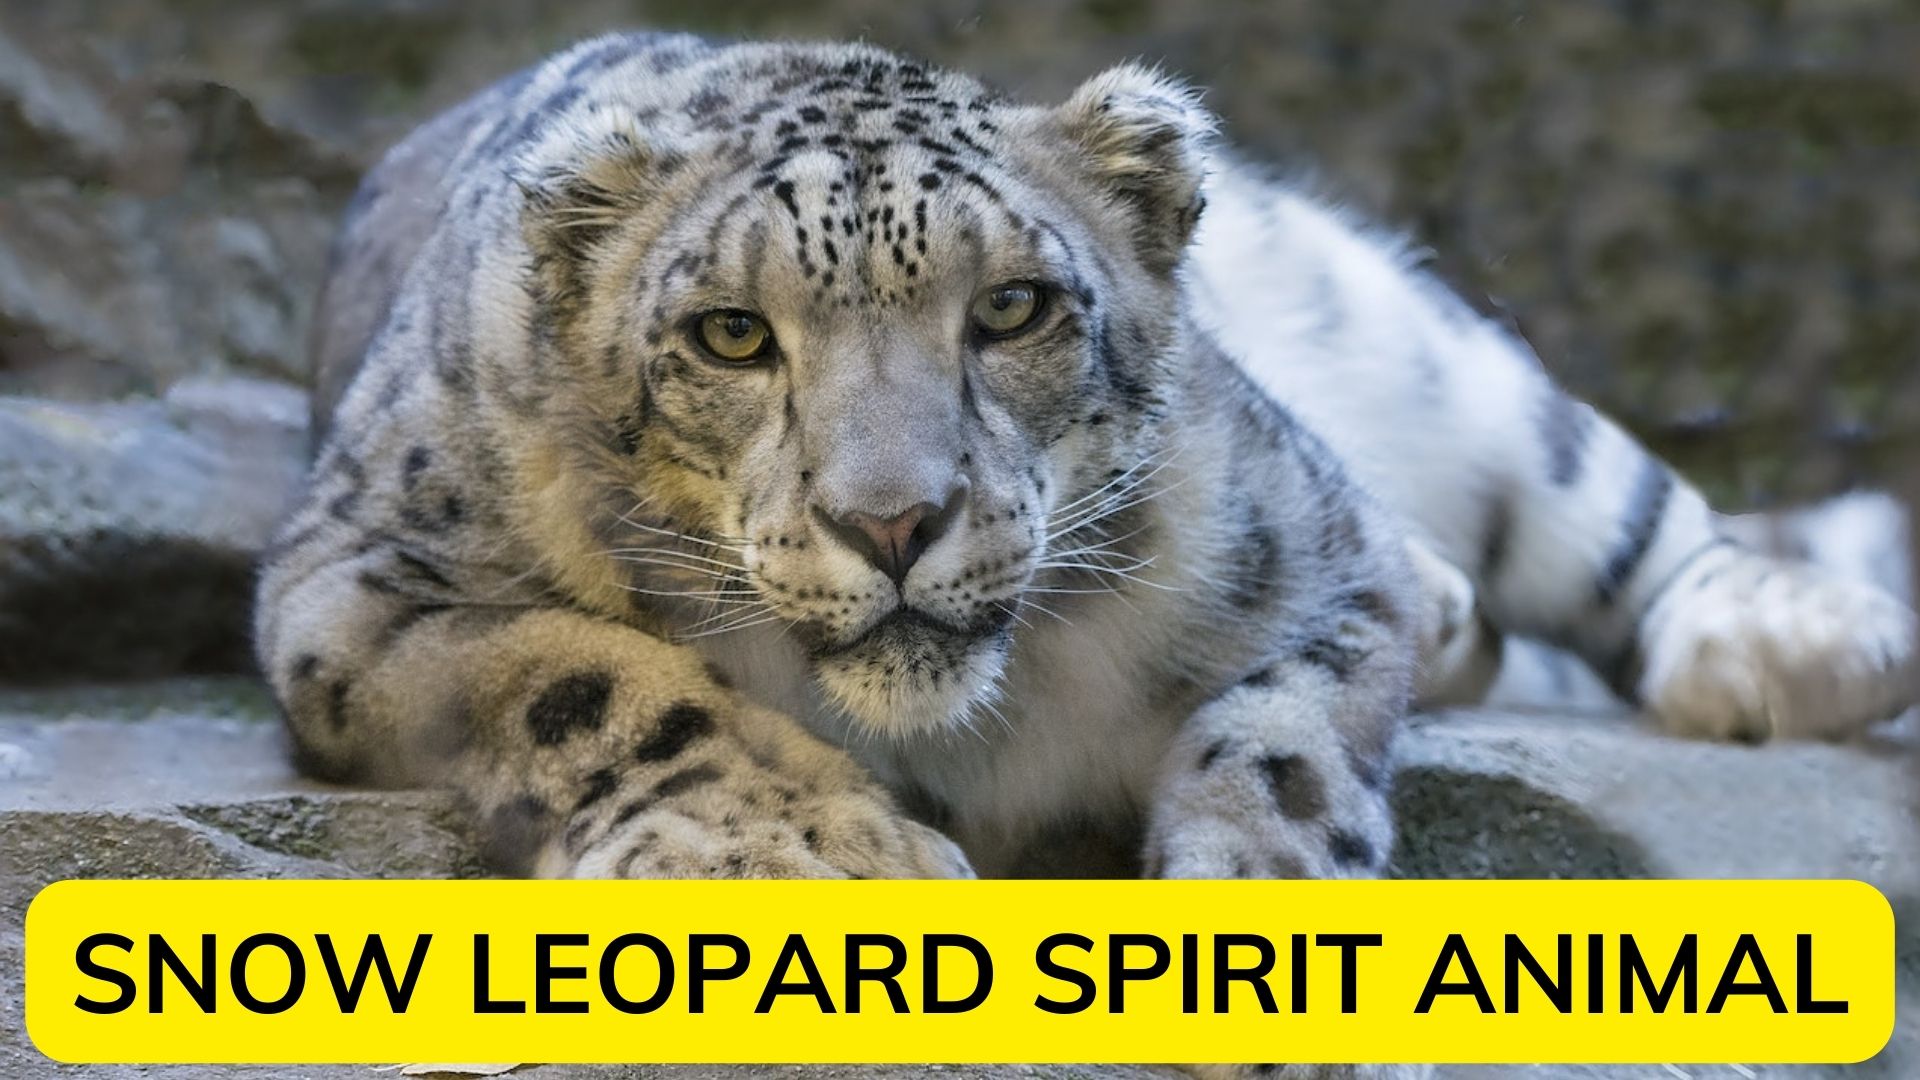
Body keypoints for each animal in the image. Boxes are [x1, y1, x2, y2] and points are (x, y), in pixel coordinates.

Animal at [255, 30, 1917, 1072]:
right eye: (730, 334)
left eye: (1012, 310)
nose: (893, 519)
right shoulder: (359, 580)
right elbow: (586, 670)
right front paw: (811, 859)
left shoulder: (1316, 545)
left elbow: (1290, 734)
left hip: (1425, 350)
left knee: (1615, 500)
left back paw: (1799, 641)